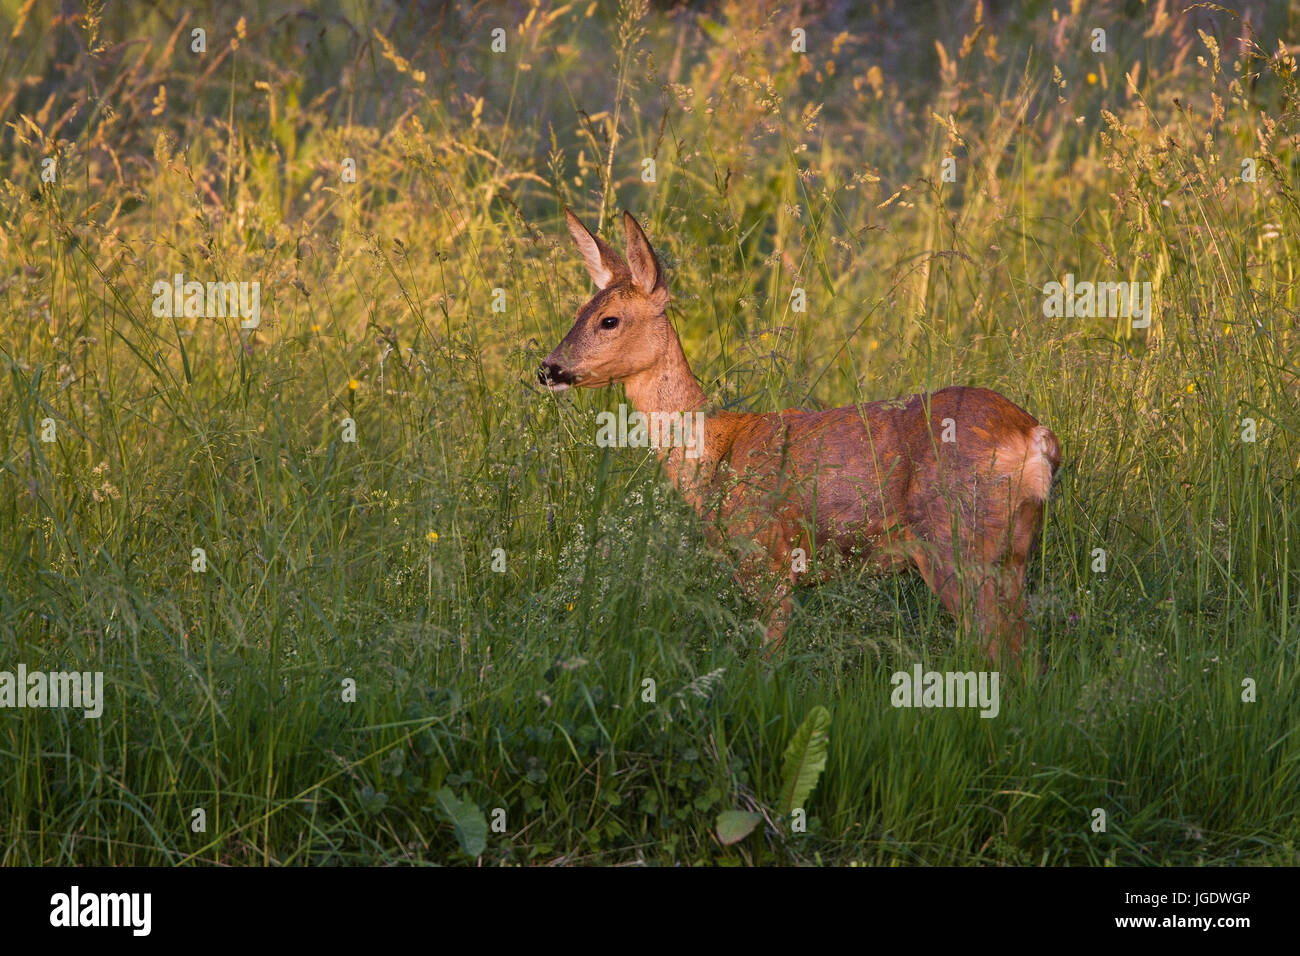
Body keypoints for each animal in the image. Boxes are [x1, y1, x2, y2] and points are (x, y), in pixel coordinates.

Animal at [540, 209, 1061, 662]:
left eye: (609, 320)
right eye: (580, 311)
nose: (548, 369)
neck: (714, 453)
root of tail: (1033, 436)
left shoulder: (766, 559)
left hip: (957, 540)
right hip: (1014, 550)